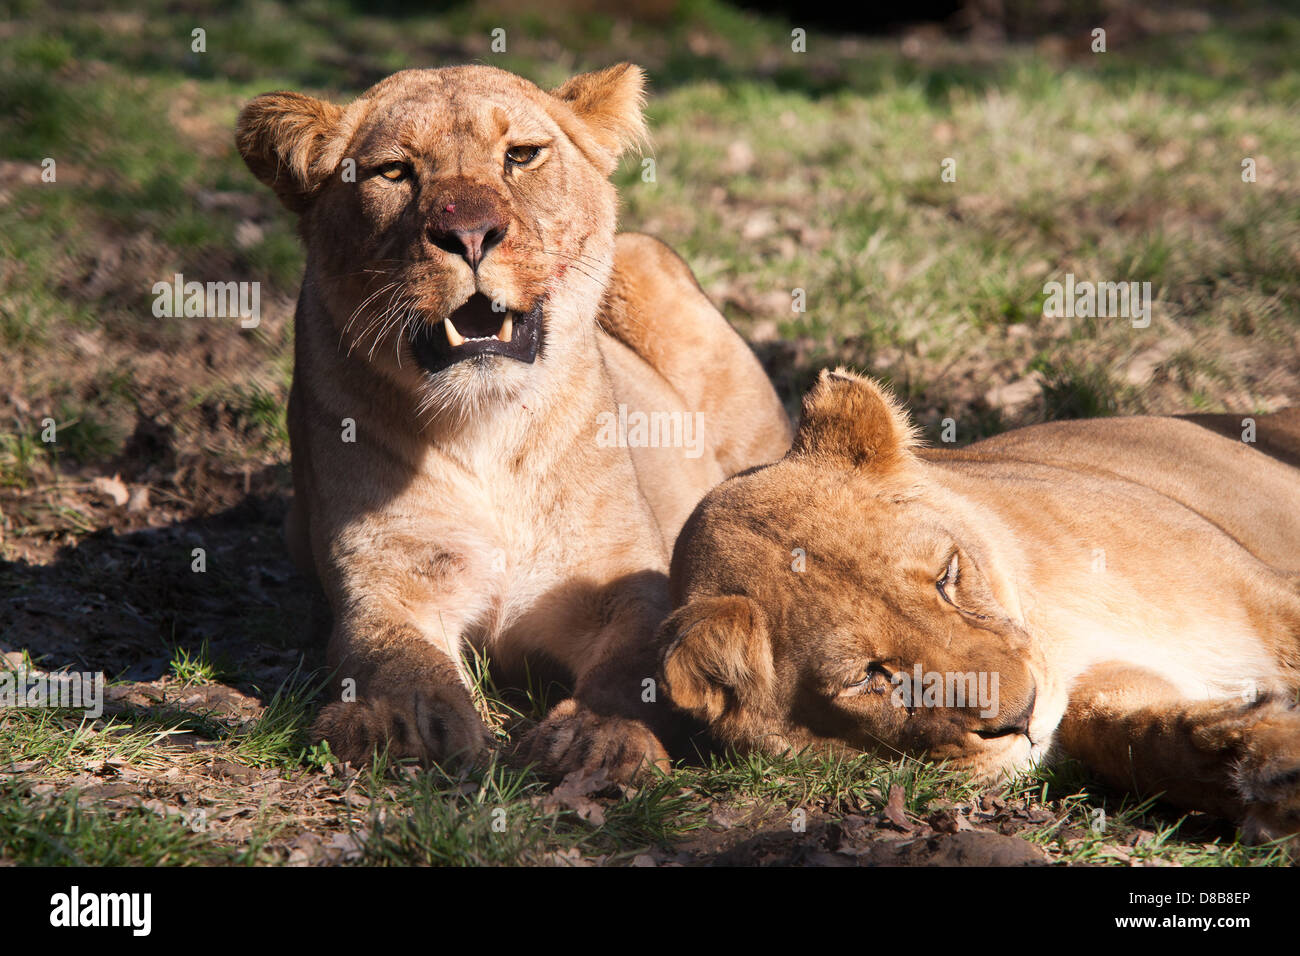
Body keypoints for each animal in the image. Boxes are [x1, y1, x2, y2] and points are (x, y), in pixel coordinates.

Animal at [234, 63, 792, 781]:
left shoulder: (628, 585)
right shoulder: (382, 573)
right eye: (394, 172)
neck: (488, 432)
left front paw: (598, 737)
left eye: (521, 156)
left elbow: (637, 666)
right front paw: (401, 720)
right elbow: (388, 651)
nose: (470, 235)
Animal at [661, 368, 1300, 840]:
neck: (1060, 628)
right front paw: (1269, 771)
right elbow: (1147, 740)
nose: (1024, 715)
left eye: (948, 576)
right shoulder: (1103, 694)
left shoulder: (1268, 595)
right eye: (869, 676)